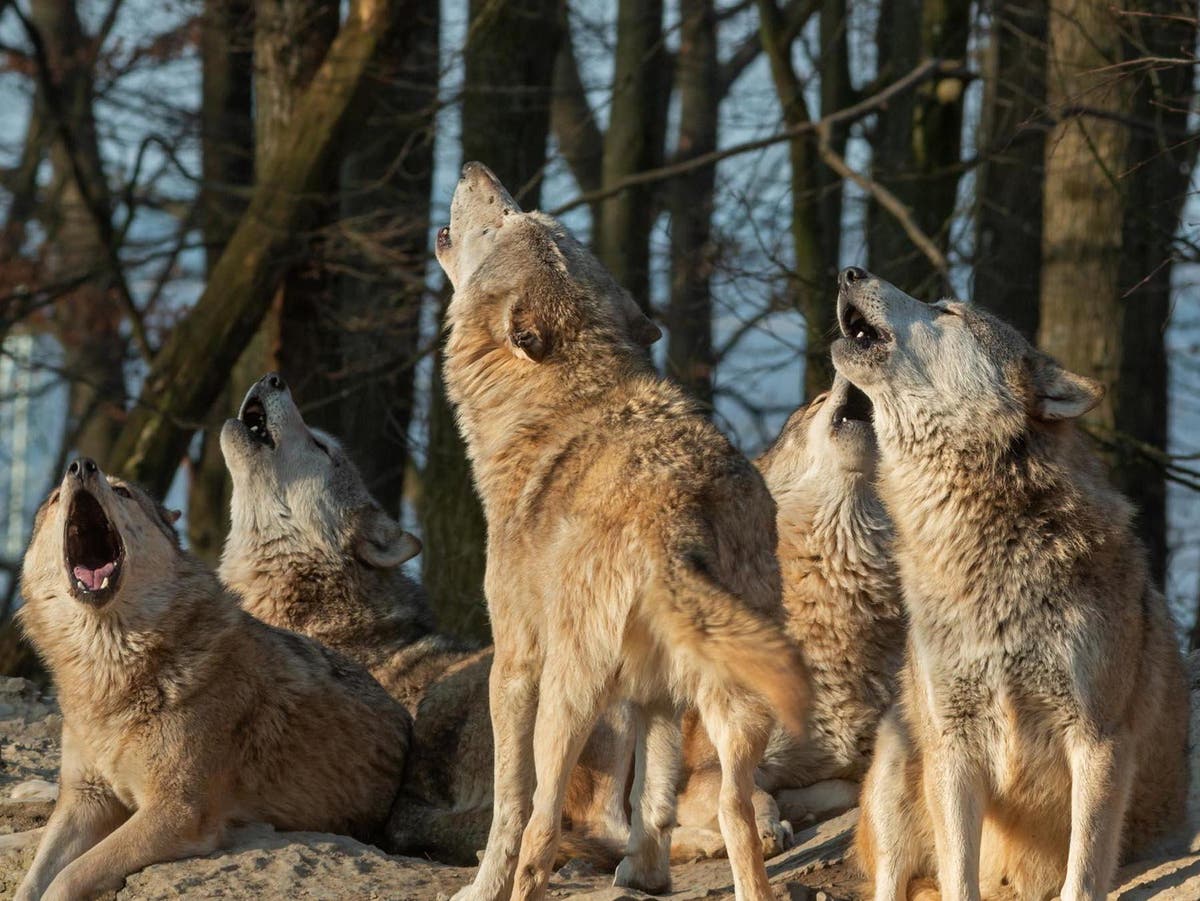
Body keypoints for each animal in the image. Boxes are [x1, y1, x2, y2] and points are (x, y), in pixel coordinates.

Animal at [14, 460, 409, 901]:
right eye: (54, 499)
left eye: (122, 492)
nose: (82, 465)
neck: (108, 666)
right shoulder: (85, 799)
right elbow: (33, 879)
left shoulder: (177, 811)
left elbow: (66, 878)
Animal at [438, 161, 810, 901]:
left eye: (507, 220)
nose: (474, 168)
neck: (553, 400)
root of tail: (680, 513)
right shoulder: (656, 693)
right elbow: (654, 798)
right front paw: (644, 875)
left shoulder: (514, 661)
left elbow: (508, 806)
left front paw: (479, 888)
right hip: (735, 698)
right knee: (737, 810)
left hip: (571, 699)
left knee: (542, 827)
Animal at [674, 373, 905, 859]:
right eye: (817, 400)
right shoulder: (712, 765)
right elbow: (749, 794)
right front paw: (764, 828)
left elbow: (844, 787)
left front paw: (798, 808)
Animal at [832, 268, 1189, 901]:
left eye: (946, 311)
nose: (852, 271)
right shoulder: (953, 748)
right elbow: (959, 878)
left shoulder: (1098, 741)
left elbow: (1082, 875)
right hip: (899, 760)